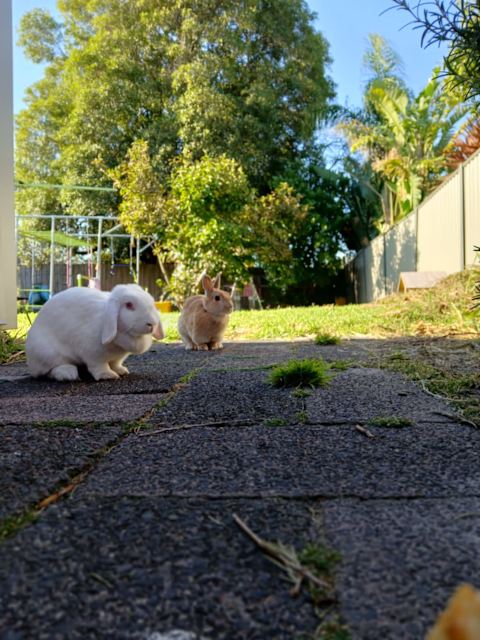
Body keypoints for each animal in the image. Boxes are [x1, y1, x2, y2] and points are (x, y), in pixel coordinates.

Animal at [26, 283, 164, 381]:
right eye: (129, 305)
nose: (152, 323)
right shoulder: (93, 354)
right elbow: (99, 365)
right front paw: (107, 375)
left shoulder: (118, 357)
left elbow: (116, 363)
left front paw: (121, 371)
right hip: (47, 353)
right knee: (51, 369)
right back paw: (68, 374)